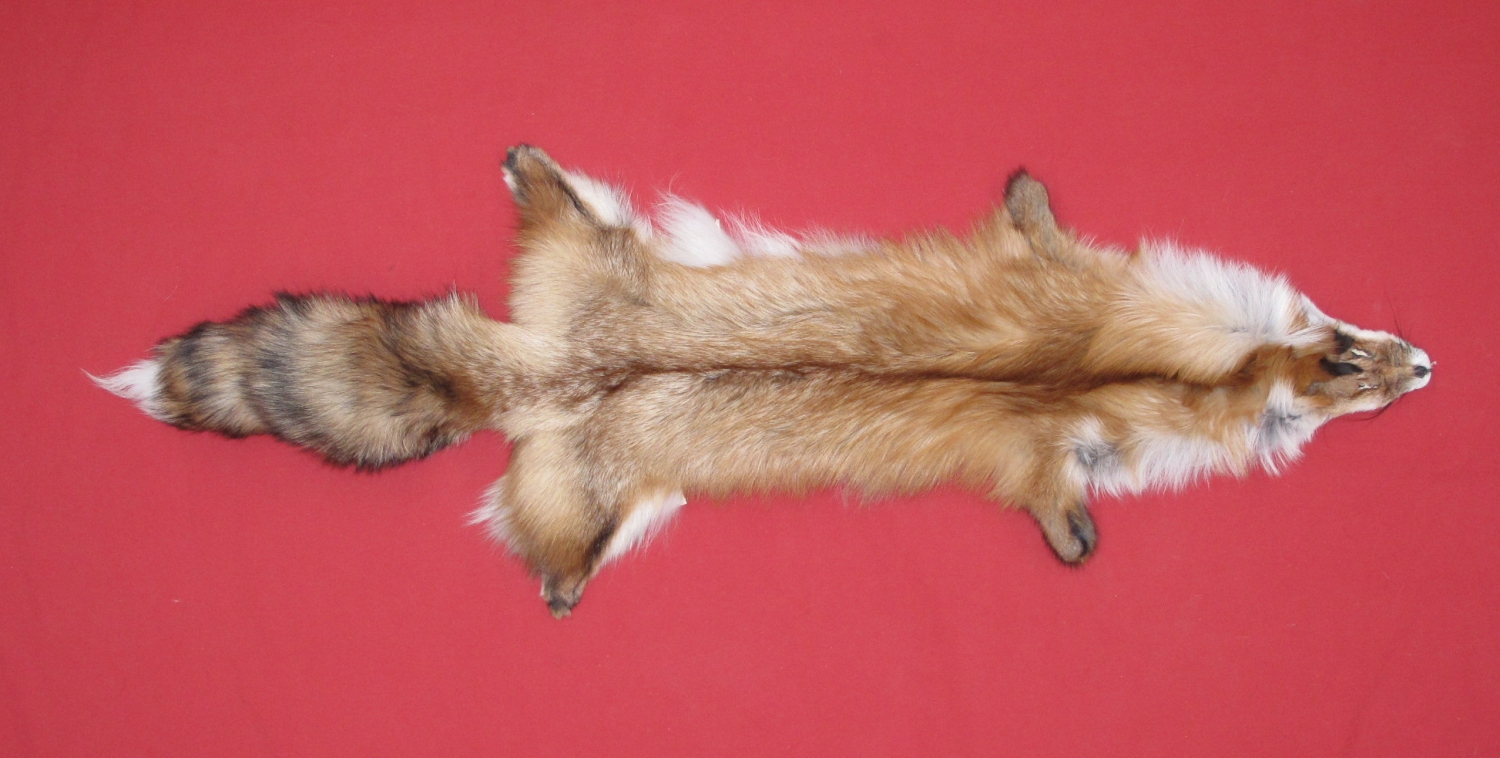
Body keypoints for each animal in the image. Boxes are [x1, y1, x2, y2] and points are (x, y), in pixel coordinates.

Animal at [92, 147, 1432, 615]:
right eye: (1354, 374)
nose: (1429, 360)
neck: (1122, 359)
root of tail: (529, 373)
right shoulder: (1046, 411)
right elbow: (1058, 504)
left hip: (598, 260)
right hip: (605, 503)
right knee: (565, 552)